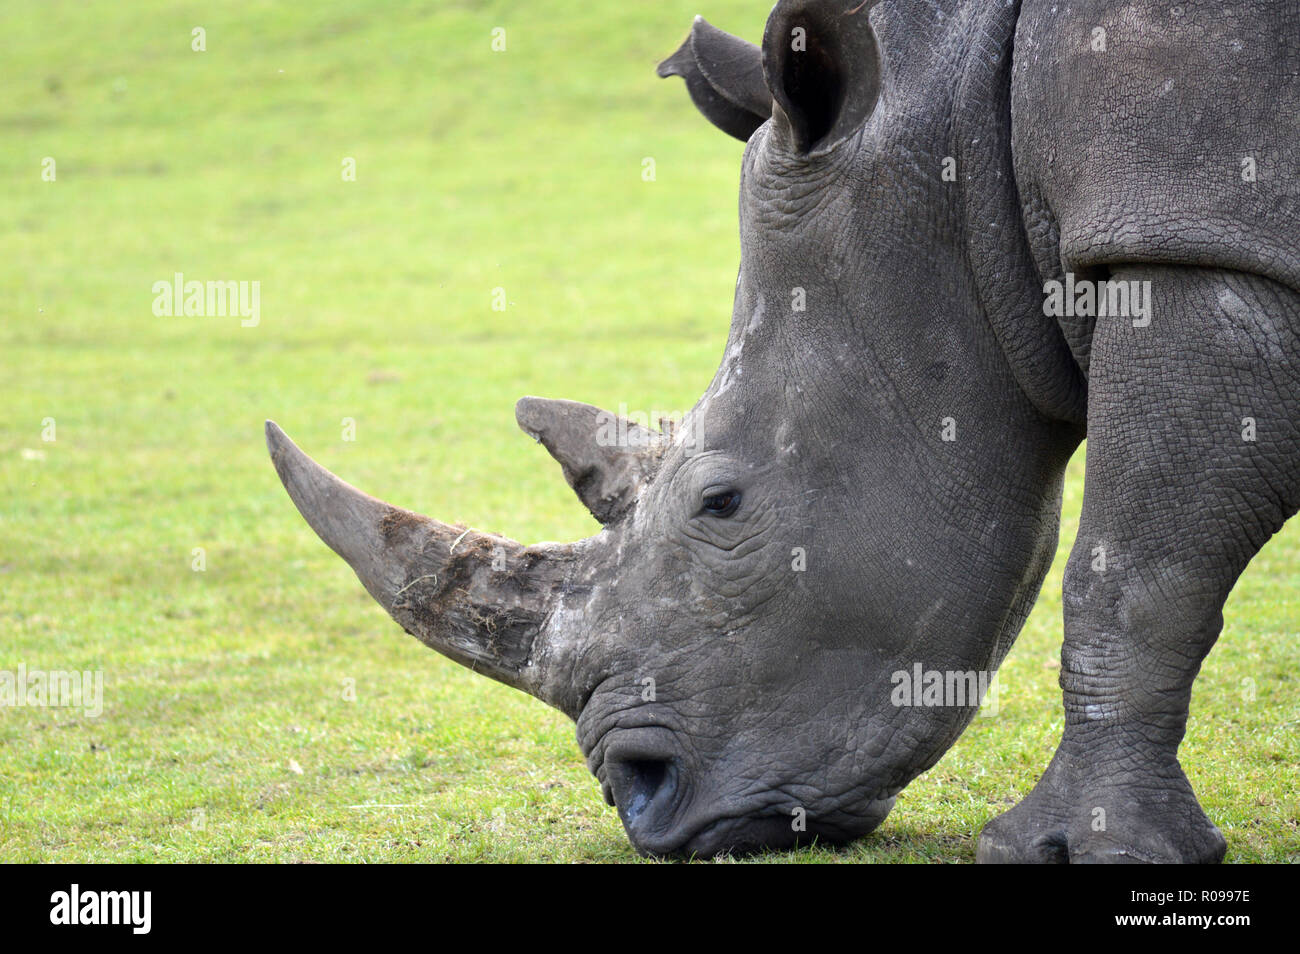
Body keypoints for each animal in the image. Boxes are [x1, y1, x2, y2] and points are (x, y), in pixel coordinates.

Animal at [266, 0, 1300, 862]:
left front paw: (1076, 850)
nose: (636, 795)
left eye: (721, 505)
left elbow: (1135, 571)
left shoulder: (1194, 242)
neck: (964, 161)